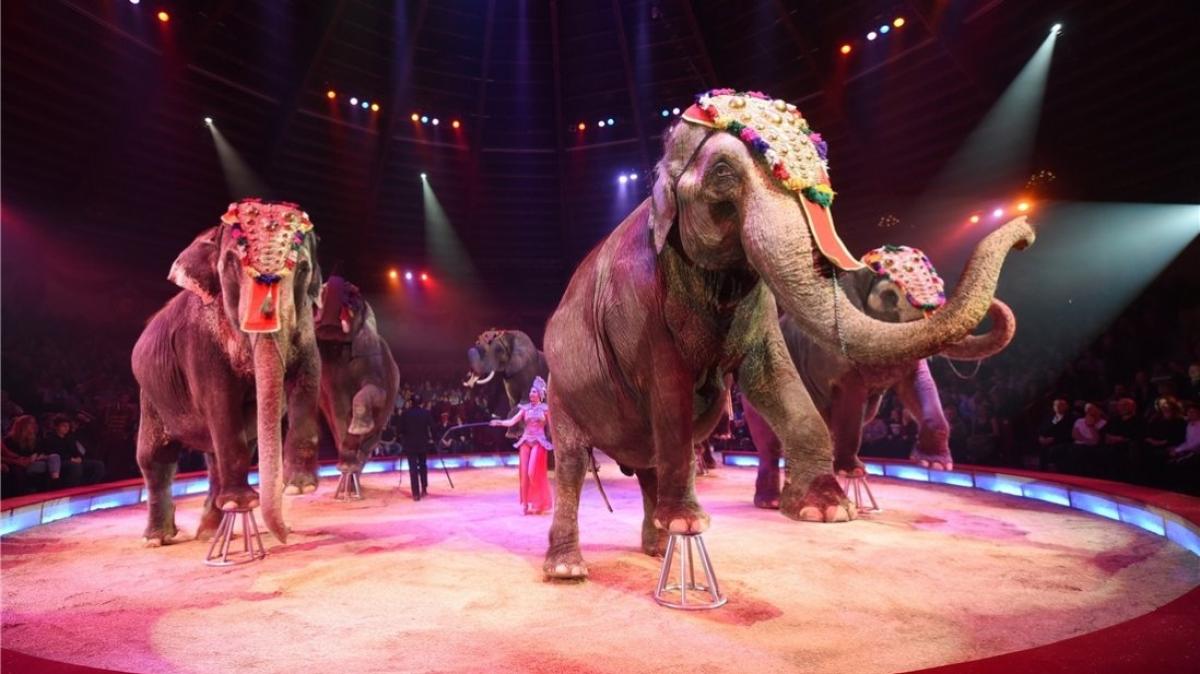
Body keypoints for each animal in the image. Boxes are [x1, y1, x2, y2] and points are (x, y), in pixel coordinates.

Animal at [131, 199, 323, 546]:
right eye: (232, 265)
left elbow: (308, 375)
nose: (288, 534)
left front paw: (300, 487)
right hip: (149, 396)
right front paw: (247, 501)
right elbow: (219, 400)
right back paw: (158, 538)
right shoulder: (199, 342)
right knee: (155, 458)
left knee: (215, 457)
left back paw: (210, 530)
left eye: (303, 269)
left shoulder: (305, 322)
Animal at [315, 275, 400, 479]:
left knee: (374, 437)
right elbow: (337, 404)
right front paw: (347, 458)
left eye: (354, 294)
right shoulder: (329, 371)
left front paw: (357, 429)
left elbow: (375, 391)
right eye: (320, 293)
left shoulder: (372, 356)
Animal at [742, 244, 1017, 509]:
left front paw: (935, 465)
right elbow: (851, 402)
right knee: (769, 444)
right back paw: (771, 501)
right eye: (889, 296)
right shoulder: (835, 353)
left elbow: (920, 384)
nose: (994, 303)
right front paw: (851, 471)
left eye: (940, 284)